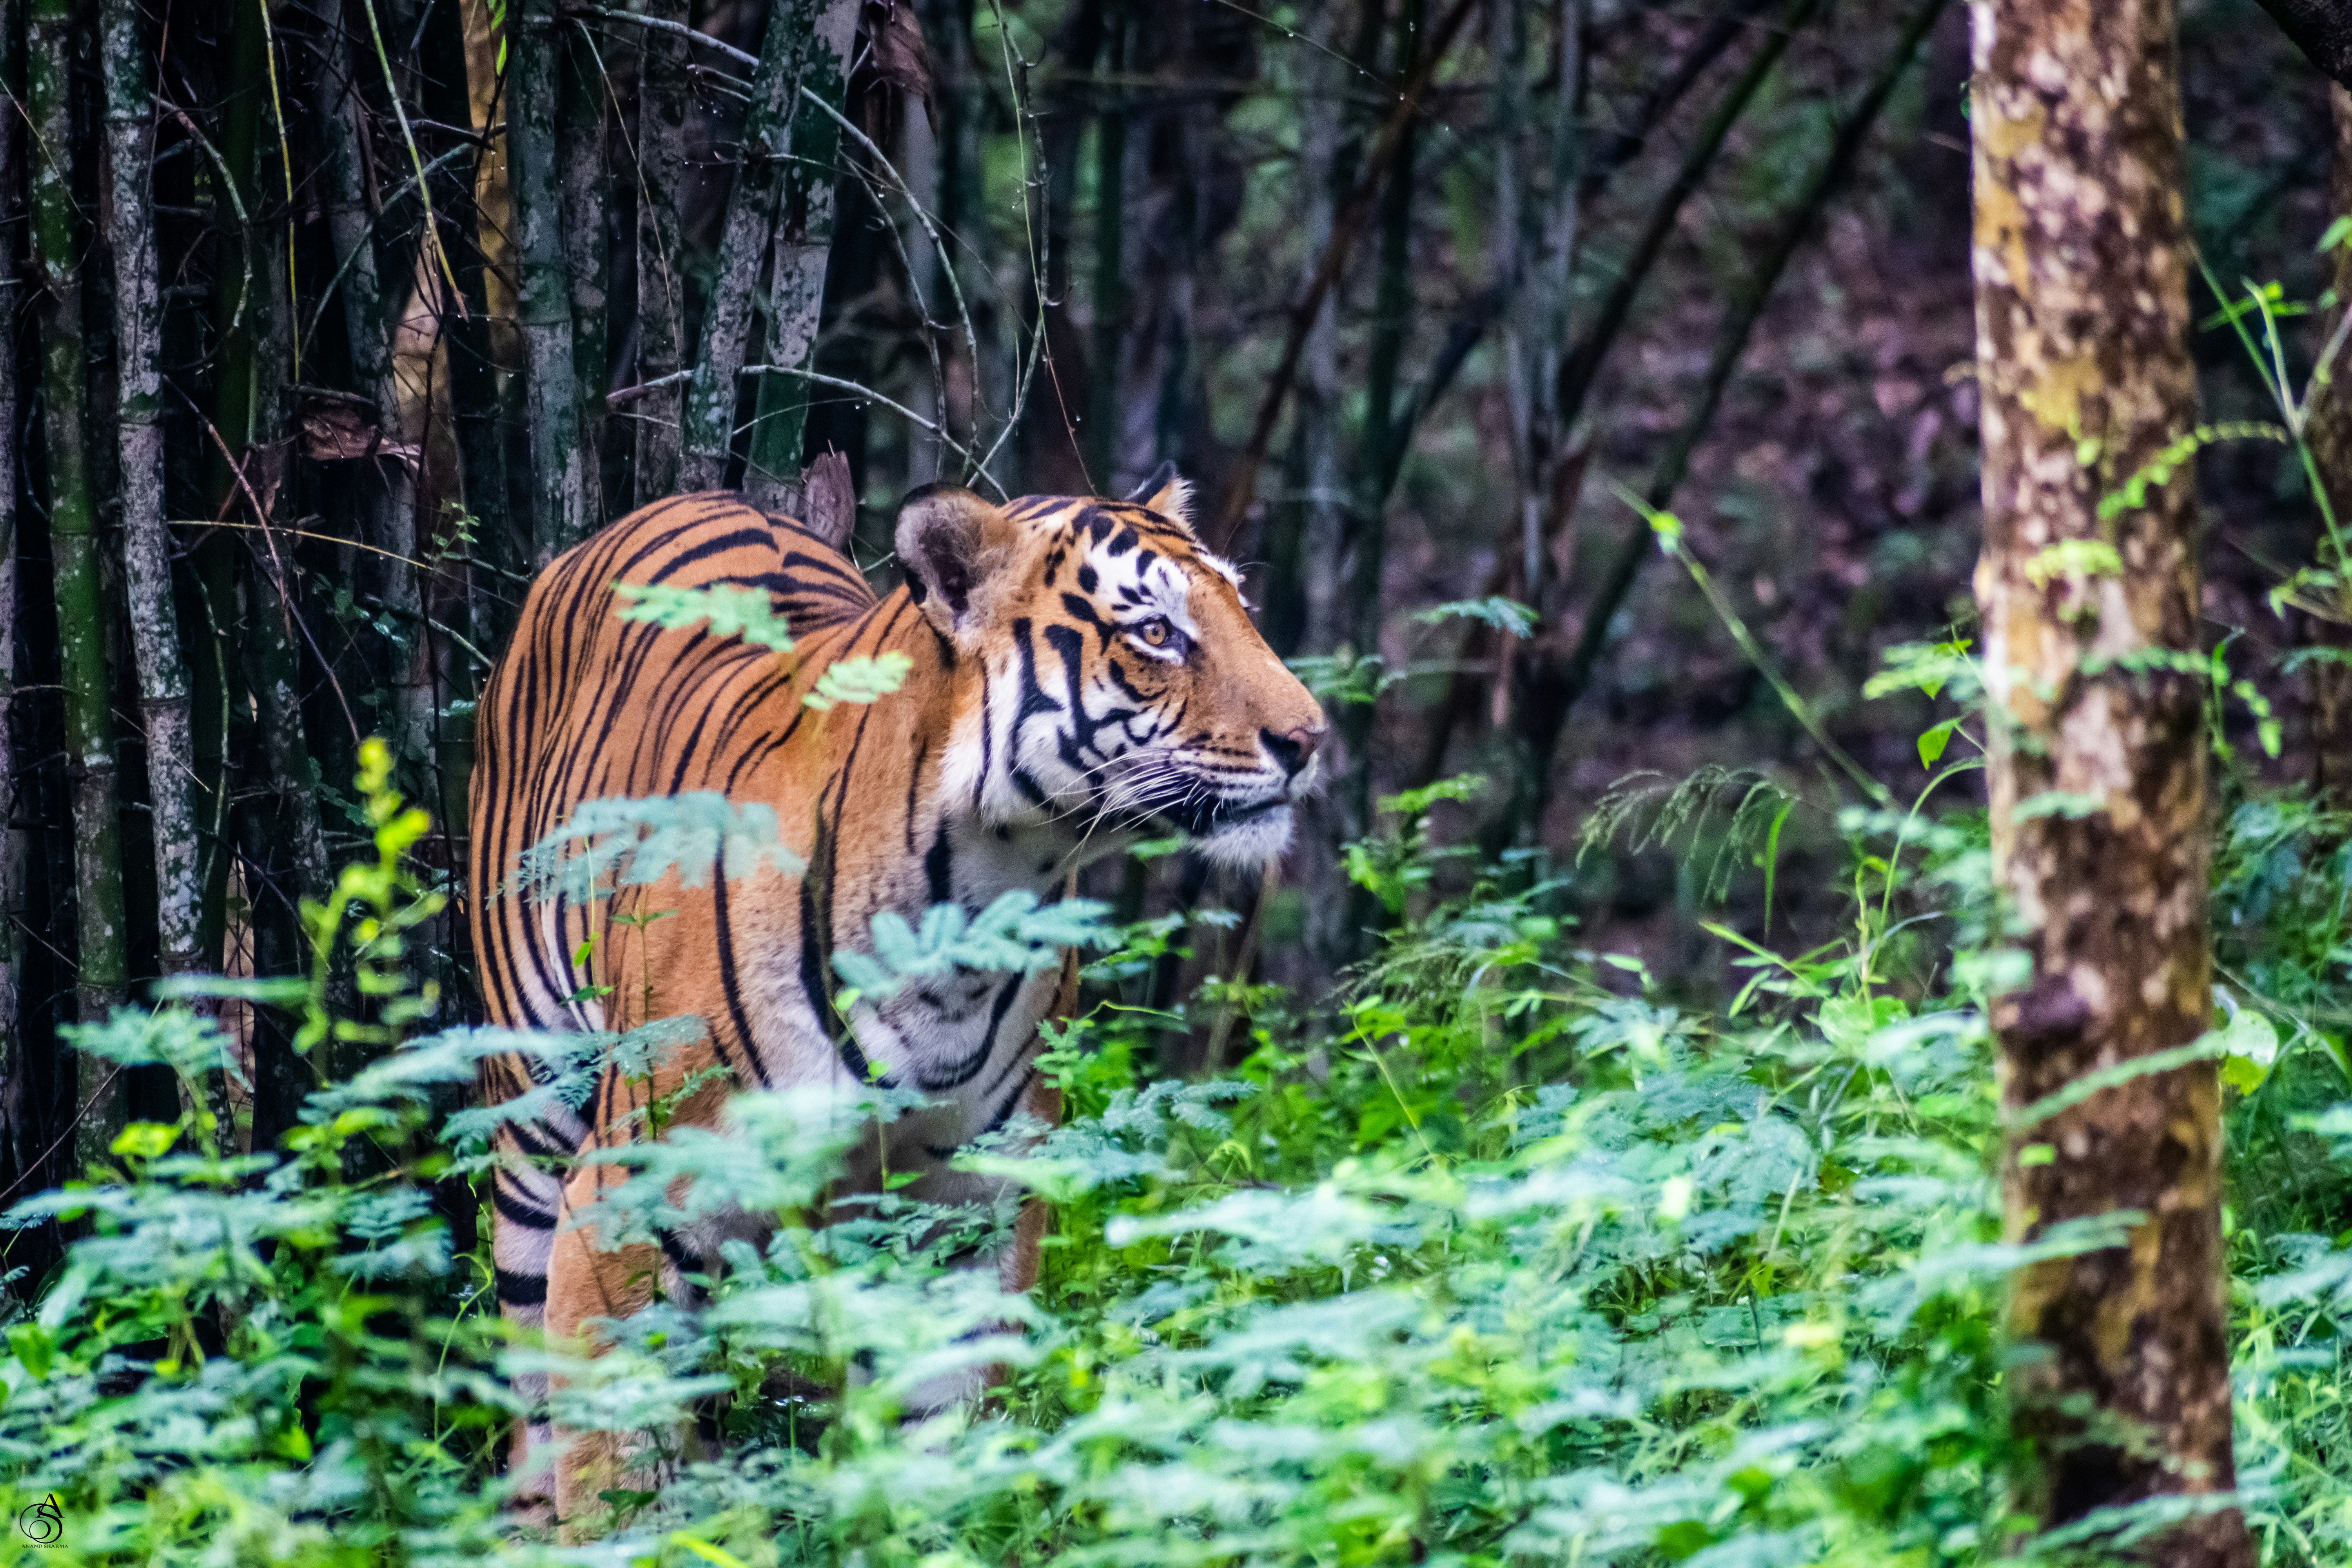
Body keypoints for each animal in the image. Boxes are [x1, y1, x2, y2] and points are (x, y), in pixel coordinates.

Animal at [465, 469, 1326, 1521]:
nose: (1310, 739)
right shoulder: (633, 1193)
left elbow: (943, 1448)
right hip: (536, 1099)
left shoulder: (971, 1205)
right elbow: (617, 1467)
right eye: (1157, 631)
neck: (966, 913)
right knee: (534, 1382)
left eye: (1241, 609)